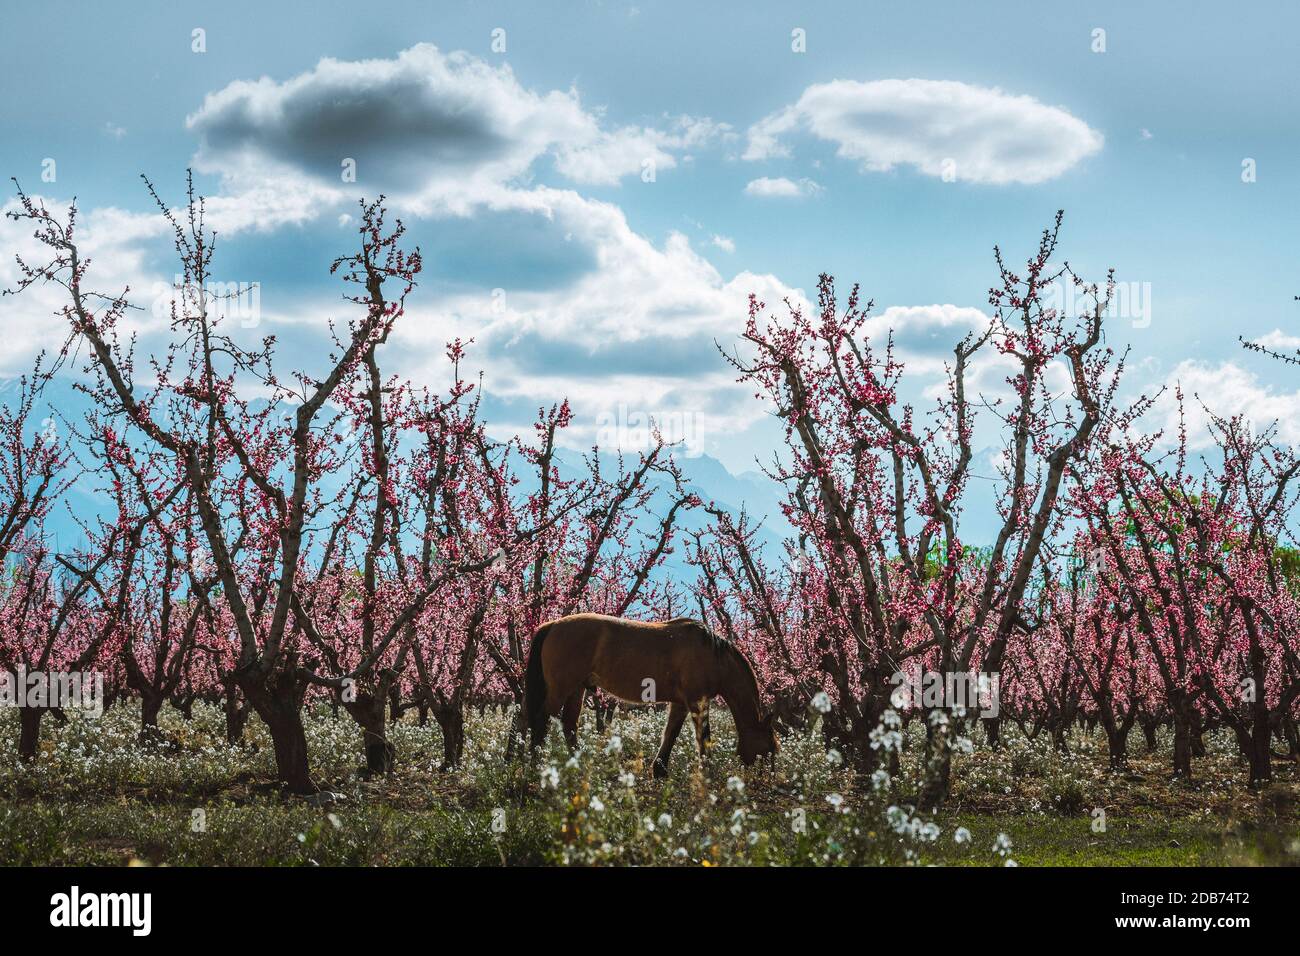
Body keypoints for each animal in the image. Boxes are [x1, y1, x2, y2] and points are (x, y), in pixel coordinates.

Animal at [524, 613, 779, 777]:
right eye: (770, 748)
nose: (766, 779)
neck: (713, 655)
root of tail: (553, 624)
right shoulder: (697, 702)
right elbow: (703, 737)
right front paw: (707, 772)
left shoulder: (680, 703)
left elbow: (671, 734)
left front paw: (660, 770)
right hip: (561, 689)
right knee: (542, 720)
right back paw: (537, 765)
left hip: (576, 689)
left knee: (569, 725)